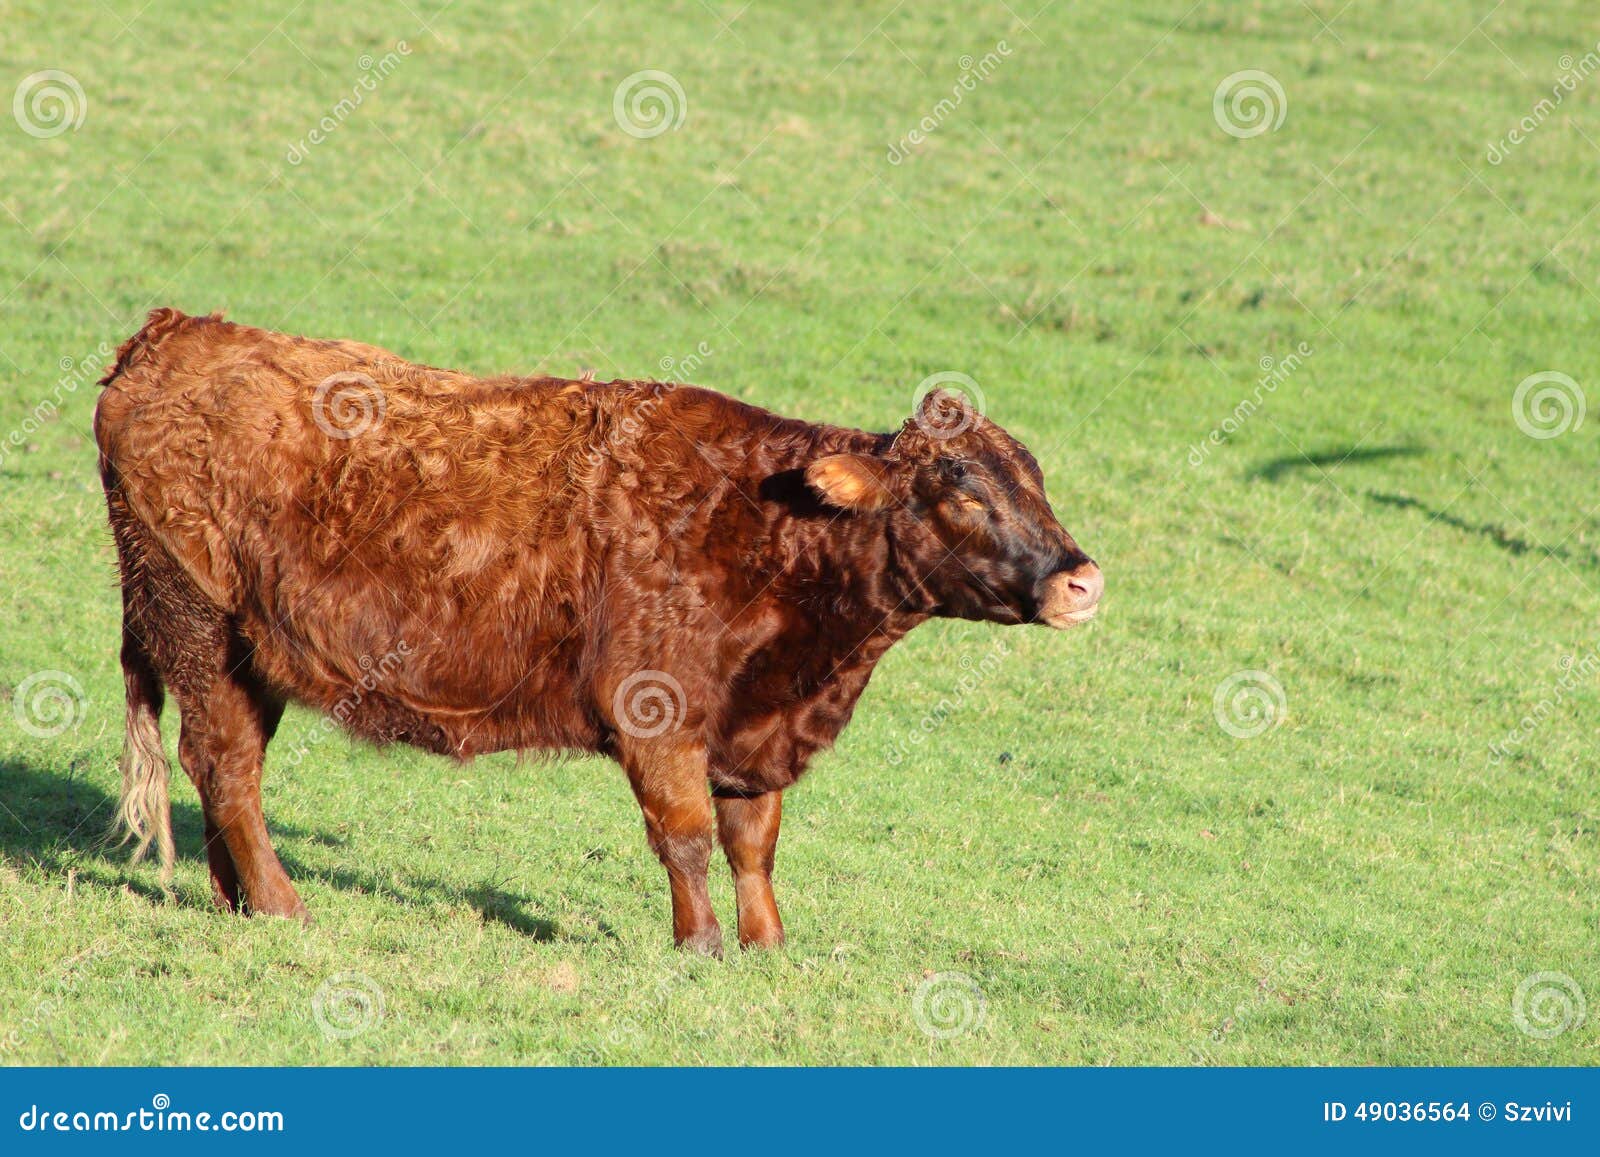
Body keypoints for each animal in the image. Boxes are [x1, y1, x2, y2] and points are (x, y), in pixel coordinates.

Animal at [94, 309, 1103, 954]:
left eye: (1036, 482)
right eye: (964, 492)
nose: (1081, 579)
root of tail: (177, 331)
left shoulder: (751, 729)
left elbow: (754, 839)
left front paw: (769, 943)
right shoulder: (659, 712)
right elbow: (688, 833)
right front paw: (701, 945)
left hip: (244, 649)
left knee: (225, 765)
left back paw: (236, 900)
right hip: (194, 617)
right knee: (226, 764)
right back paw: (281, 906)